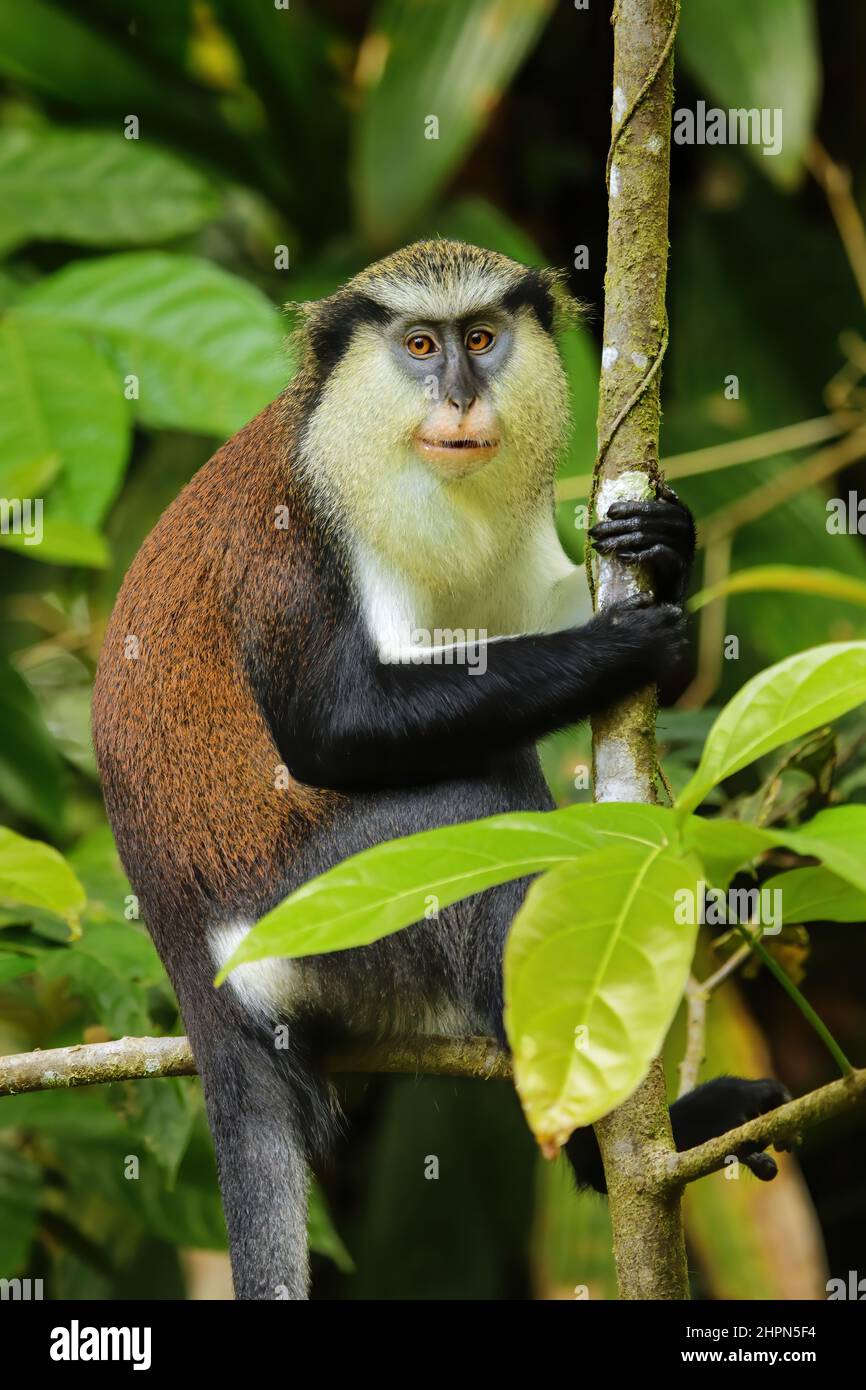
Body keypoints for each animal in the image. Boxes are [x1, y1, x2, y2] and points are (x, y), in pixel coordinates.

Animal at [92, 240, 788, 1300]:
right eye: (420, 345)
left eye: (482, 338)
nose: (461, 396)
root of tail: (193, 968)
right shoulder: (297, 539)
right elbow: (335, 727)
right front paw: (621, 650)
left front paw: (669, 544)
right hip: (315, 917)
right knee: (470, 813)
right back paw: (610, 1156)